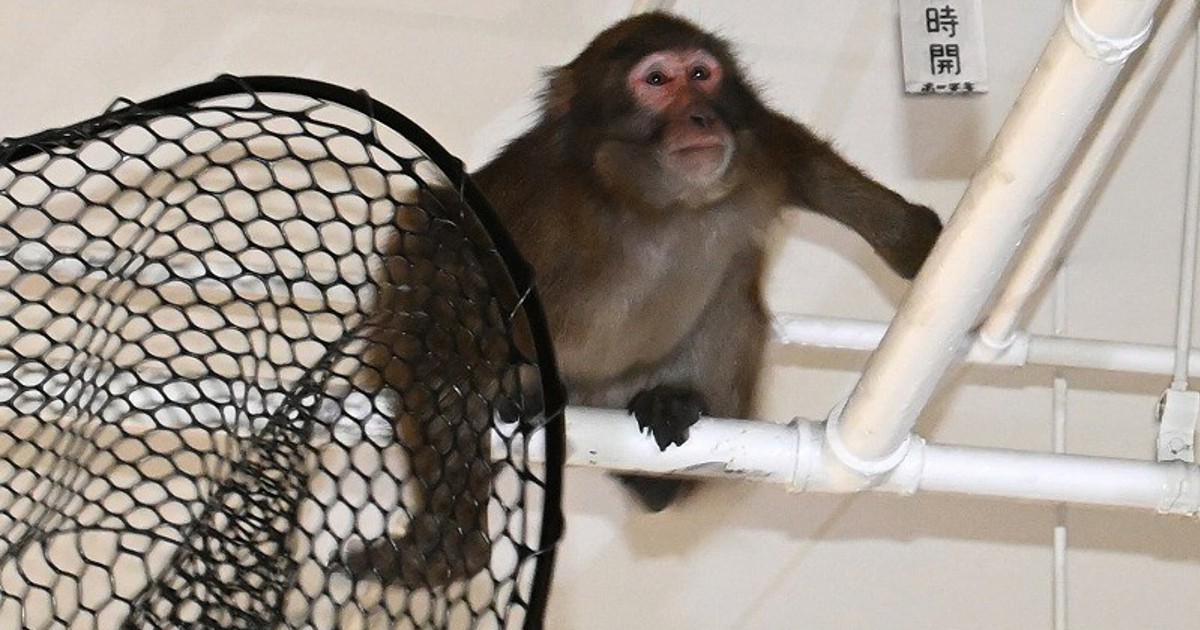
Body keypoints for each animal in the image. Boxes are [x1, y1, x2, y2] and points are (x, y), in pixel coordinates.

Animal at [345, 11, 941, 585]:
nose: (700, 117)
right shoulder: (539, 197)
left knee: (732, 292)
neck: (655, 203)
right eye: (657, 80)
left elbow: (793, 151)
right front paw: (447, 538)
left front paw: (911, 236)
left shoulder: (753, 156)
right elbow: (439, 243)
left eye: (701, 74)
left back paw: (668, 415)